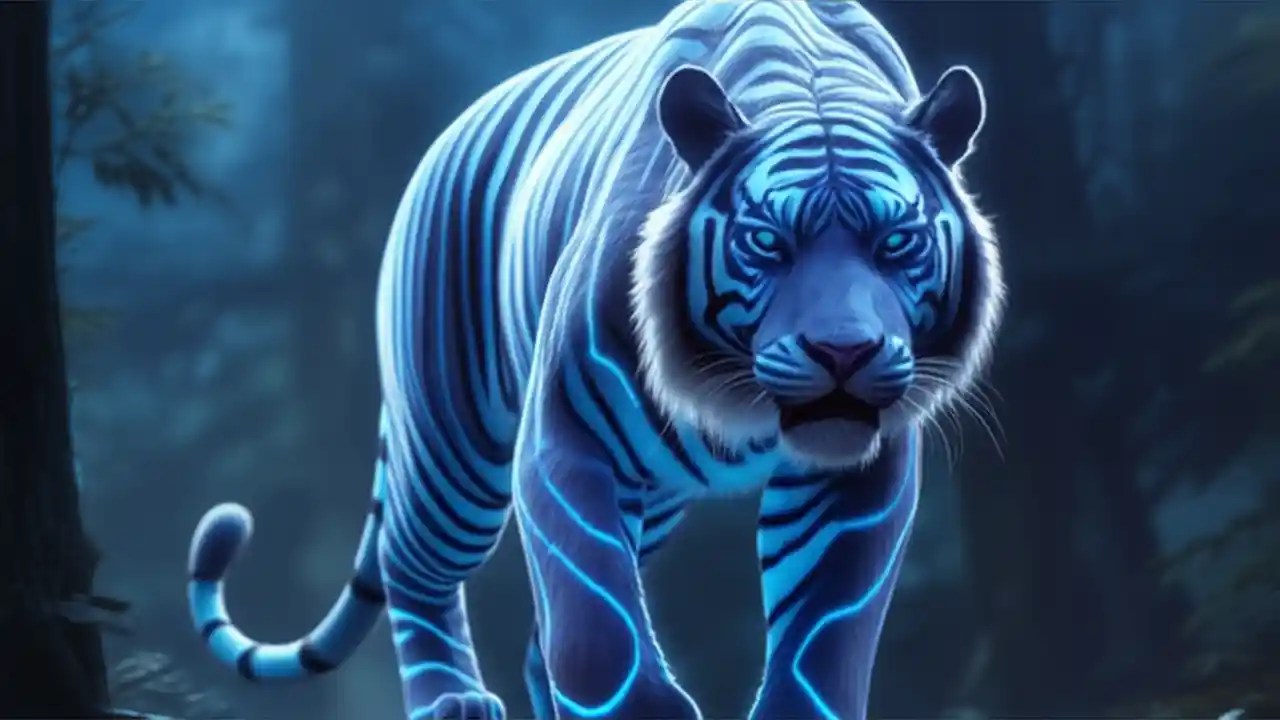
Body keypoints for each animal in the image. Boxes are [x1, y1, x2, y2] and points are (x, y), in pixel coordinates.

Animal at [184, 1, 1003, 719]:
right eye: (767, 242)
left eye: (898, 242)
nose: (843, 350)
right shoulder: (564, 437)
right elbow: (594, 619)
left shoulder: (861, 476)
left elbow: (825, 634)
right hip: (456, 453)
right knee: (413, 570)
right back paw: (453, 701)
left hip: (653, 493)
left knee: (533, 634)